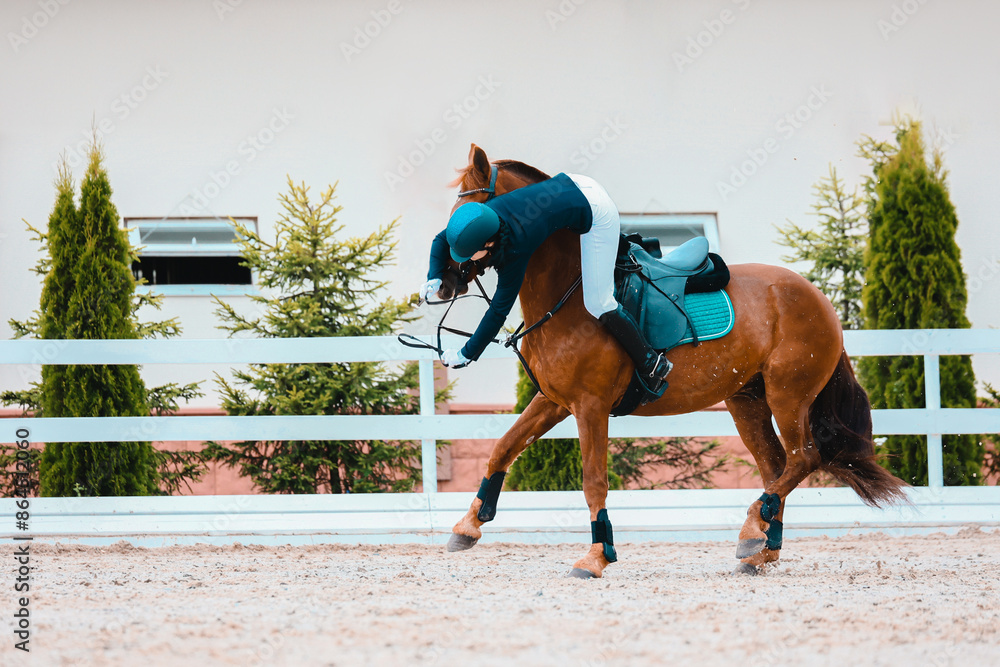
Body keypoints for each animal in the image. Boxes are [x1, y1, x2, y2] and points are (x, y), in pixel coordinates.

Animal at [436, 144, 906, 578]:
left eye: (466, 208)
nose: (443, 282)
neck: (567, 292)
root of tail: (819, 298)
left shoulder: (590, 406)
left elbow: (594, 481)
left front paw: (596, 556)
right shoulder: (554, 401)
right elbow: (502, 449)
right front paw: (468, 526)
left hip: (789, 395)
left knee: (804, 458)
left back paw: (752, 531)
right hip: (747, 401)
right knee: (776, 465)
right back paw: (761, 547)